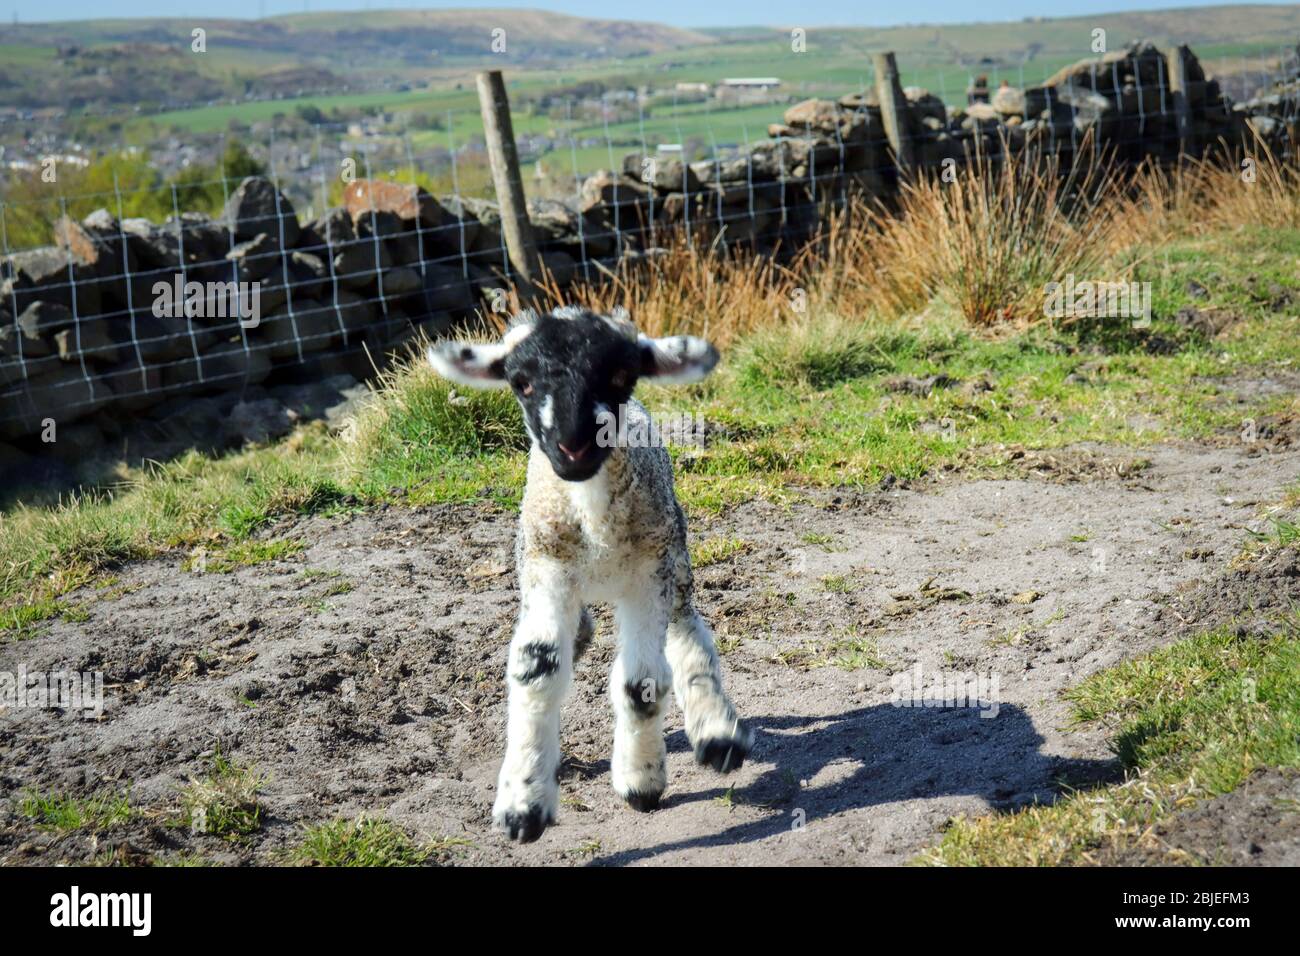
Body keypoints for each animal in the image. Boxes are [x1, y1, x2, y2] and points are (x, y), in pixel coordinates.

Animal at [428, 305, 752, 843]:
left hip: (674, 551)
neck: (592, 513)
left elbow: (641, 686)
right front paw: (523, 806)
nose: (573, 445)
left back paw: (717, 734)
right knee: (580, 634)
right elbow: (536, 667)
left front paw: (641, 782)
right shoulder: (547, 566)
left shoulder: (648, 572)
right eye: (521, 382)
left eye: (620, 375)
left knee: (687, 628)